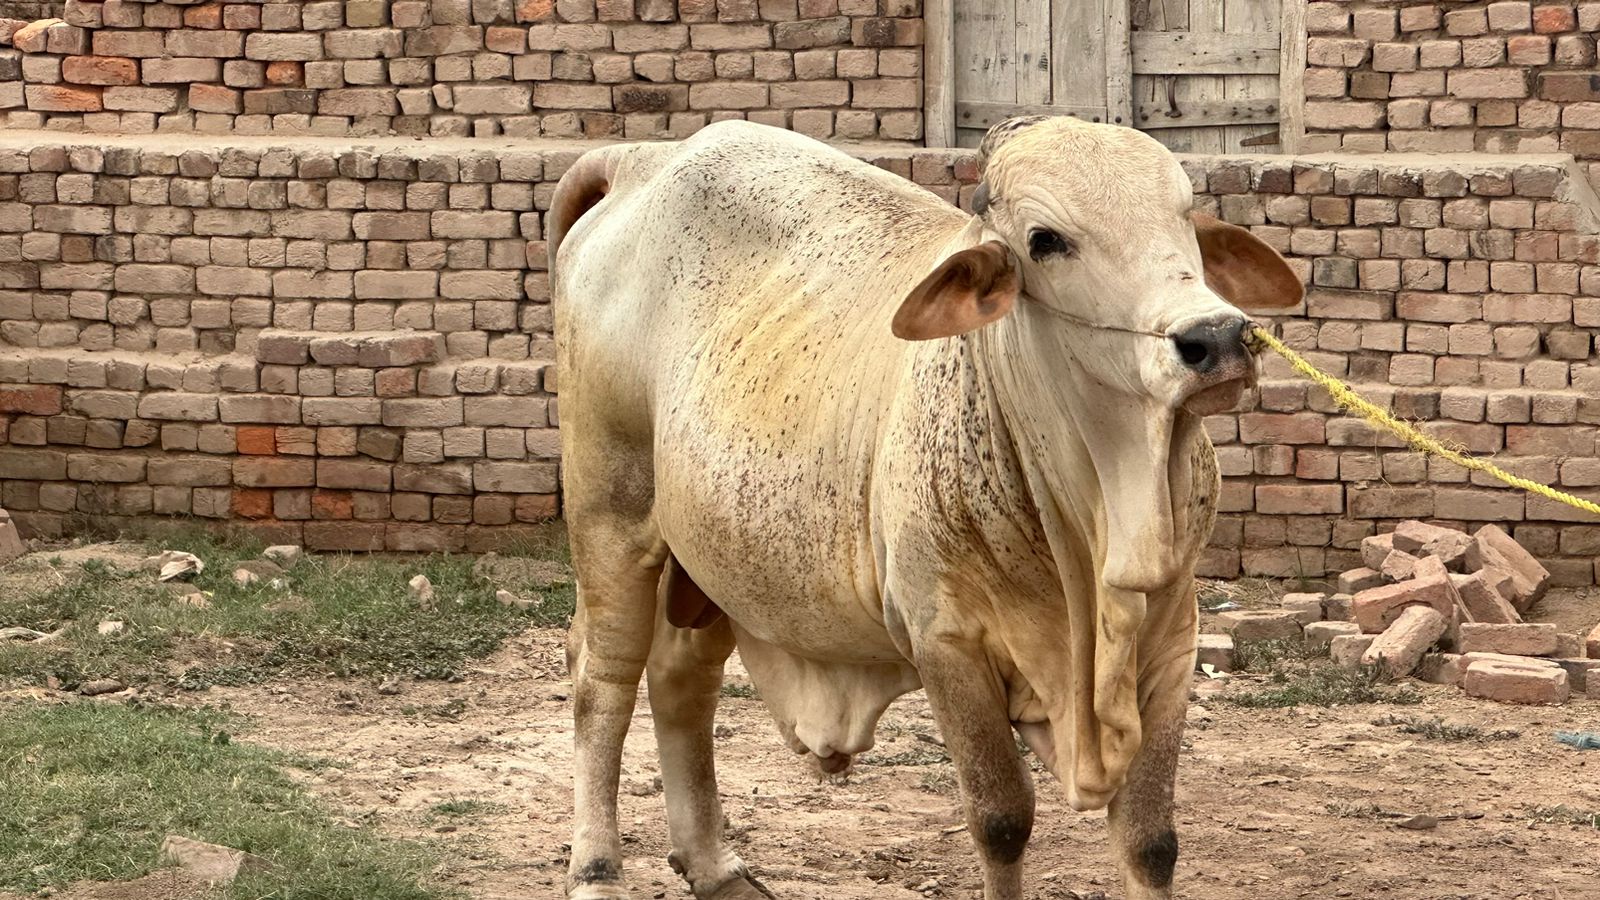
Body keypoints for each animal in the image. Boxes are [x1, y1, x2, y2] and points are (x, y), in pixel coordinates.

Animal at [549, 116, 1303, 900]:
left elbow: (1150, 839)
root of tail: (643, 158)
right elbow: (1001, 820)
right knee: (602, 678)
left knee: (681, 676)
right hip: (613, 512)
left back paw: (715, 867)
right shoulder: (946, 642)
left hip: (714, 559)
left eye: (1185, 214)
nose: (1216, 337)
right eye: (1045, 240)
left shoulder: (1172, 642)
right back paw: (597, 869)